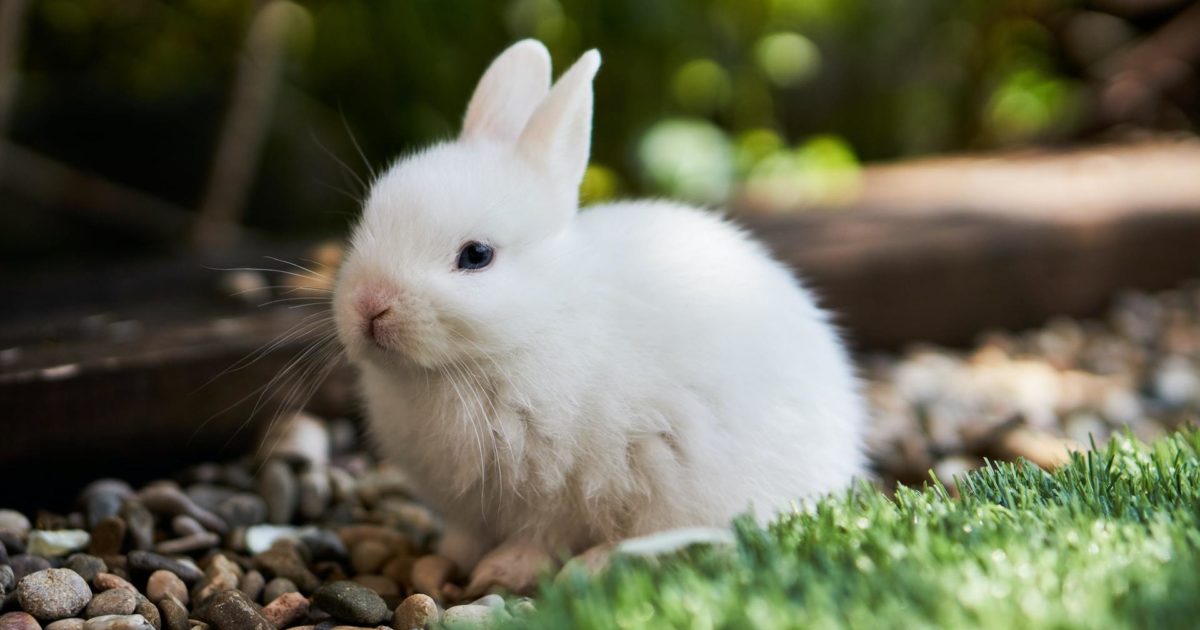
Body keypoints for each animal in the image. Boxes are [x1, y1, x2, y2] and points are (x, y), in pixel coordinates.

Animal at [333, 39, 867, 596]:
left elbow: (540, 537)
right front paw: (442, 562)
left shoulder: (563, 490)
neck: (532, 327)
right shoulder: (469, 511)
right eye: (367, 221)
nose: (370, 305)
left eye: (476, 255)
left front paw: (502, 572)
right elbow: (464, 537)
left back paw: (595, 565)